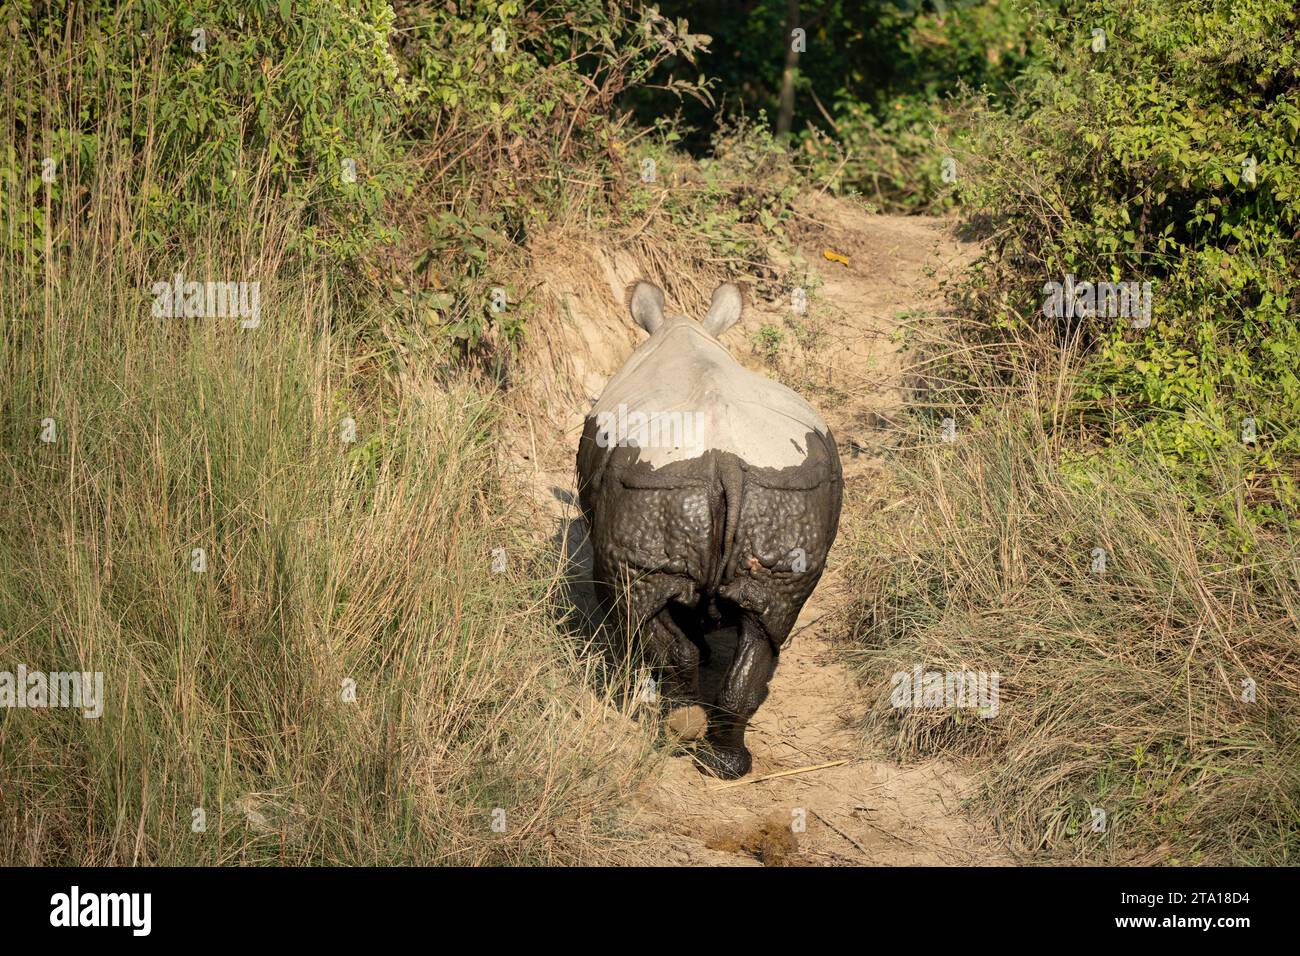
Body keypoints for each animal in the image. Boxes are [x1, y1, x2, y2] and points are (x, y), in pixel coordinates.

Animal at [576, 280, 843, 778]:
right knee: (769, 620)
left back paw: (676, 729)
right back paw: (725, 764)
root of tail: (726, 466)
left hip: (656, 491)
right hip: (780, 495)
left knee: (630, 602)